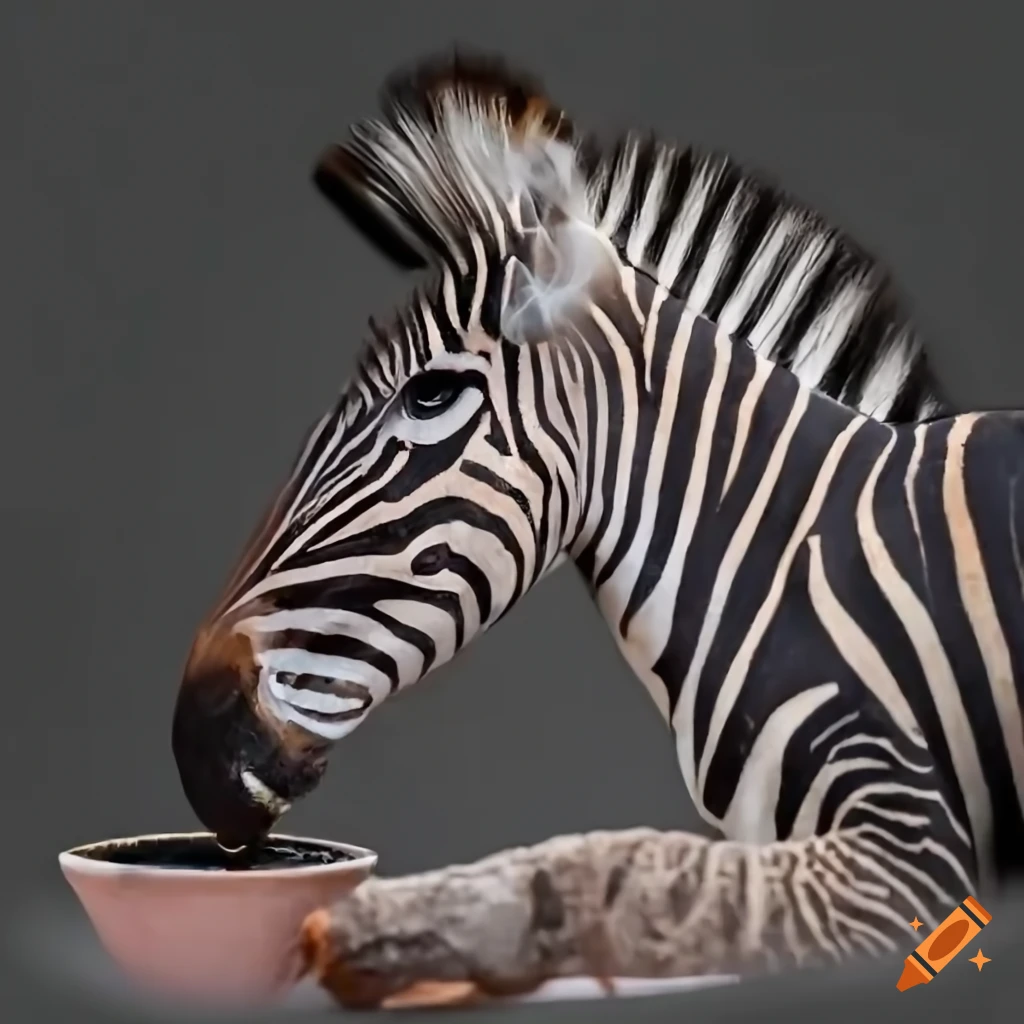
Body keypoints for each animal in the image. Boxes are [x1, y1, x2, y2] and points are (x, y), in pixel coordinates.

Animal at [170, 56, 1023, 1005]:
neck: (786, 562)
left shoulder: (909, 829)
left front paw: (384, 928)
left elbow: (640, 869)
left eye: (429, 395)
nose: (195, 746)